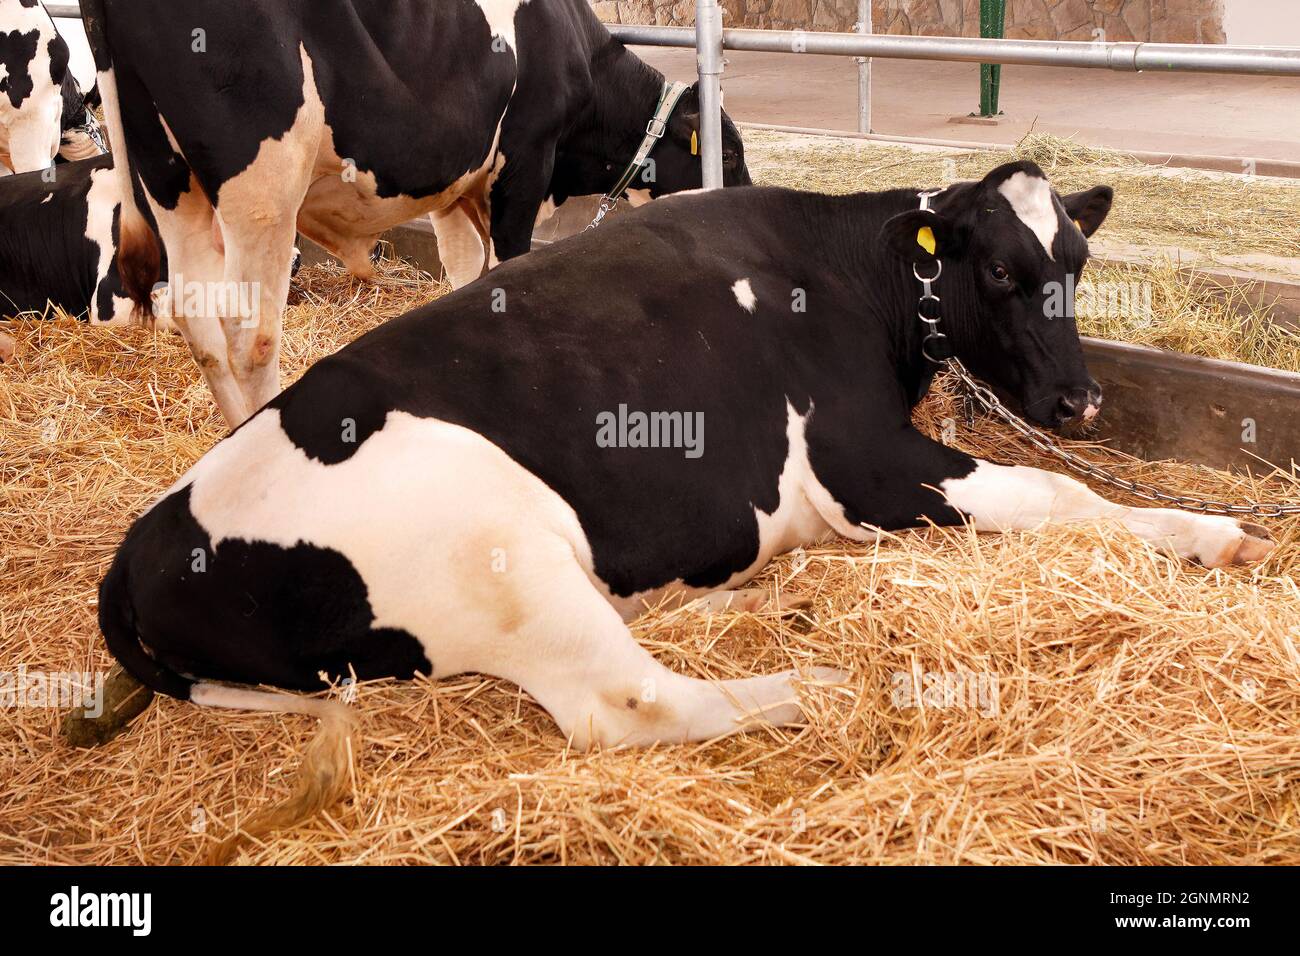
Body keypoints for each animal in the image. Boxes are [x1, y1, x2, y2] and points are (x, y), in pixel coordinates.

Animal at [81, 0, 750, 429]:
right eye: (729, 152)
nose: (740, 195)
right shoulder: (525, 159)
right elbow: (507, 272)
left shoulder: (459, 188)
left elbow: (465, 277)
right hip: (262, 186)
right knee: (249, 334)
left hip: (170, 178)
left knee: (196, 318)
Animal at [91, 161, 1275, 859]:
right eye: (994, 269)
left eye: (1077, 258)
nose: (1079, 400)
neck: (848, 274)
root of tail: (150, 536)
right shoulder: (864, 463)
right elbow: (1057, 490)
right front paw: (1216, 533)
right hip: (501, 549)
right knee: (627, 702)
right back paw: (819, 682)